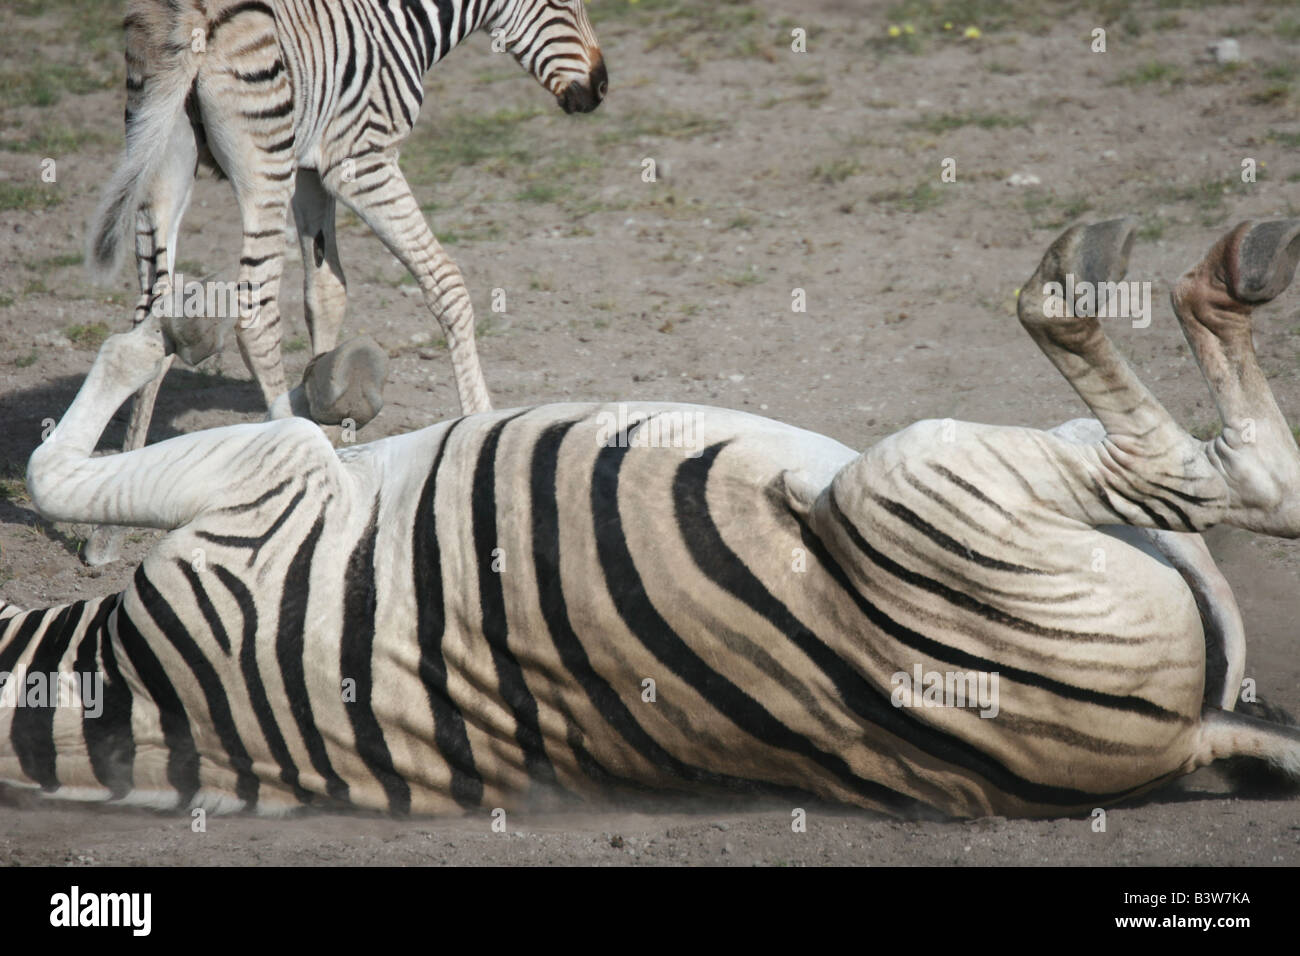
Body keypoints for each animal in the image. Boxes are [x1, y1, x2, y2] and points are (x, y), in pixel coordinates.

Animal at [4, 219, 1299, 818]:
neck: (129, 695)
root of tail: (1188, 736)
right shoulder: (271, 475)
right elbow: (59, 467)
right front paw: (158, 331)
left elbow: (67, 462)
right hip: (918, 480)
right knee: (1227, 473)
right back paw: (1182, 278)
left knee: (1207, 477)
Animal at [80, 0, 607, 564]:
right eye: (562, 4)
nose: (600, 87)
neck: (405, 25)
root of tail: (192, 19)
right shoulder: (361, 161)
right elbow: (444, 280)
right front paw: (481, 425)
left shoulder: (313, 172)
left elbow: (327, 291)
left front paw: (326, 407)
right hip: (264, 171)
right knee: (255, 317)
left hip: (163, 161)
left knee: (151, 323)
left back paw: (106, 526)